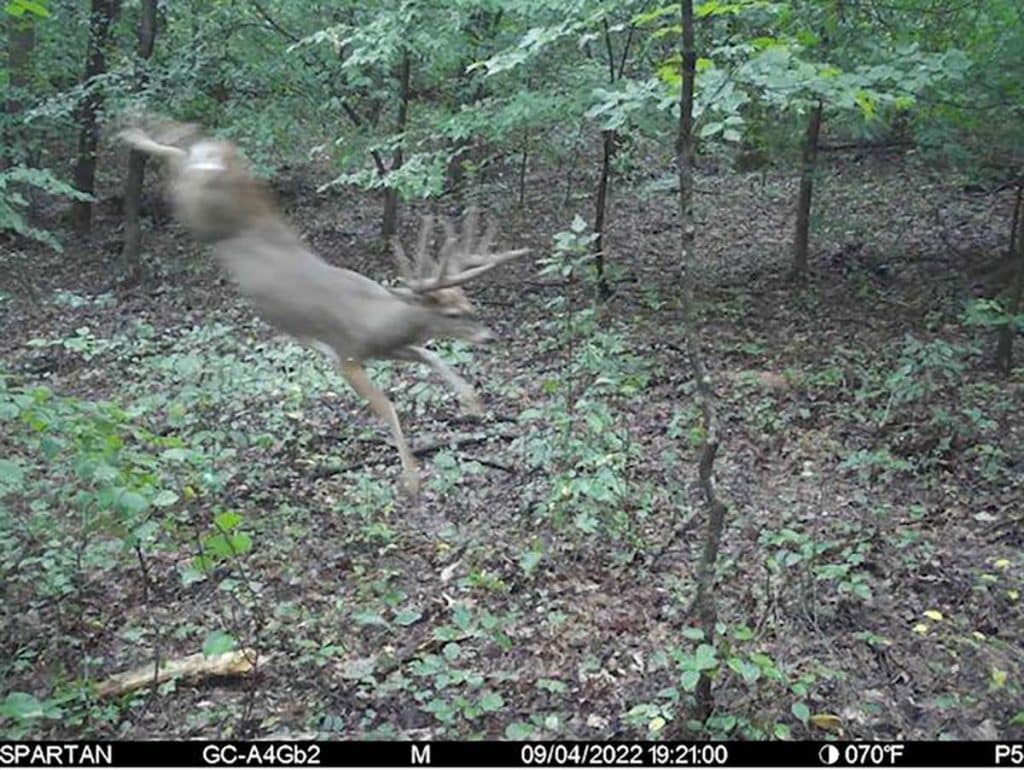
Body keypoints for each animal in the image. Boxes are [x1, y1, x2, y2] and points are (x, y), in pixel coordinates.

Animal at [118, 121, 528, 495]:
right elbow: (388, 406)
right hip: (197, 208)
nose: (490, 336)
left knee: (187, 149)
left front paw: (472, 402)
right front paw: (411, 479)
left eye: (470, 302)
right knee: (179, 162)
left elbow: (431, 356)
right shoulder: (345, 355)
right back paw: (133, 134)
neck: (379, 320)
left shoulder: (388, 348)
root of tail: (222, 159)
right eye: (454, 314)